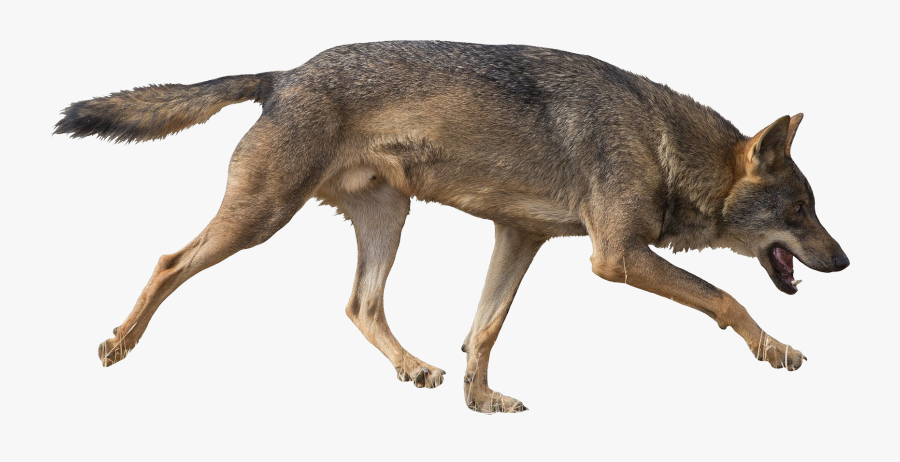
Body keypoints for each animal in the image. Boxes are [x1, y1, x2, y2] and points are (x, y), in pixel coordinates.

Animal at [55, 41, 849, 413]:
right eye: (800, 212)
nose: (844, 261)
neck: (663, 145)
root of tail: (281, 75)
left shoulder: (519, 237)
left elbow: (483, 330)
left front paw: (480, 400)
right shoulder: (617, 258)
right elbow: (726, 299)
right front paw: (777, 350)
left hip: (388, 219)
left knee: (360, 304)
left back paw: (412, 367)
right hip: (259, 219)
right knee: (167, 262)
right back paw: (119, 344)